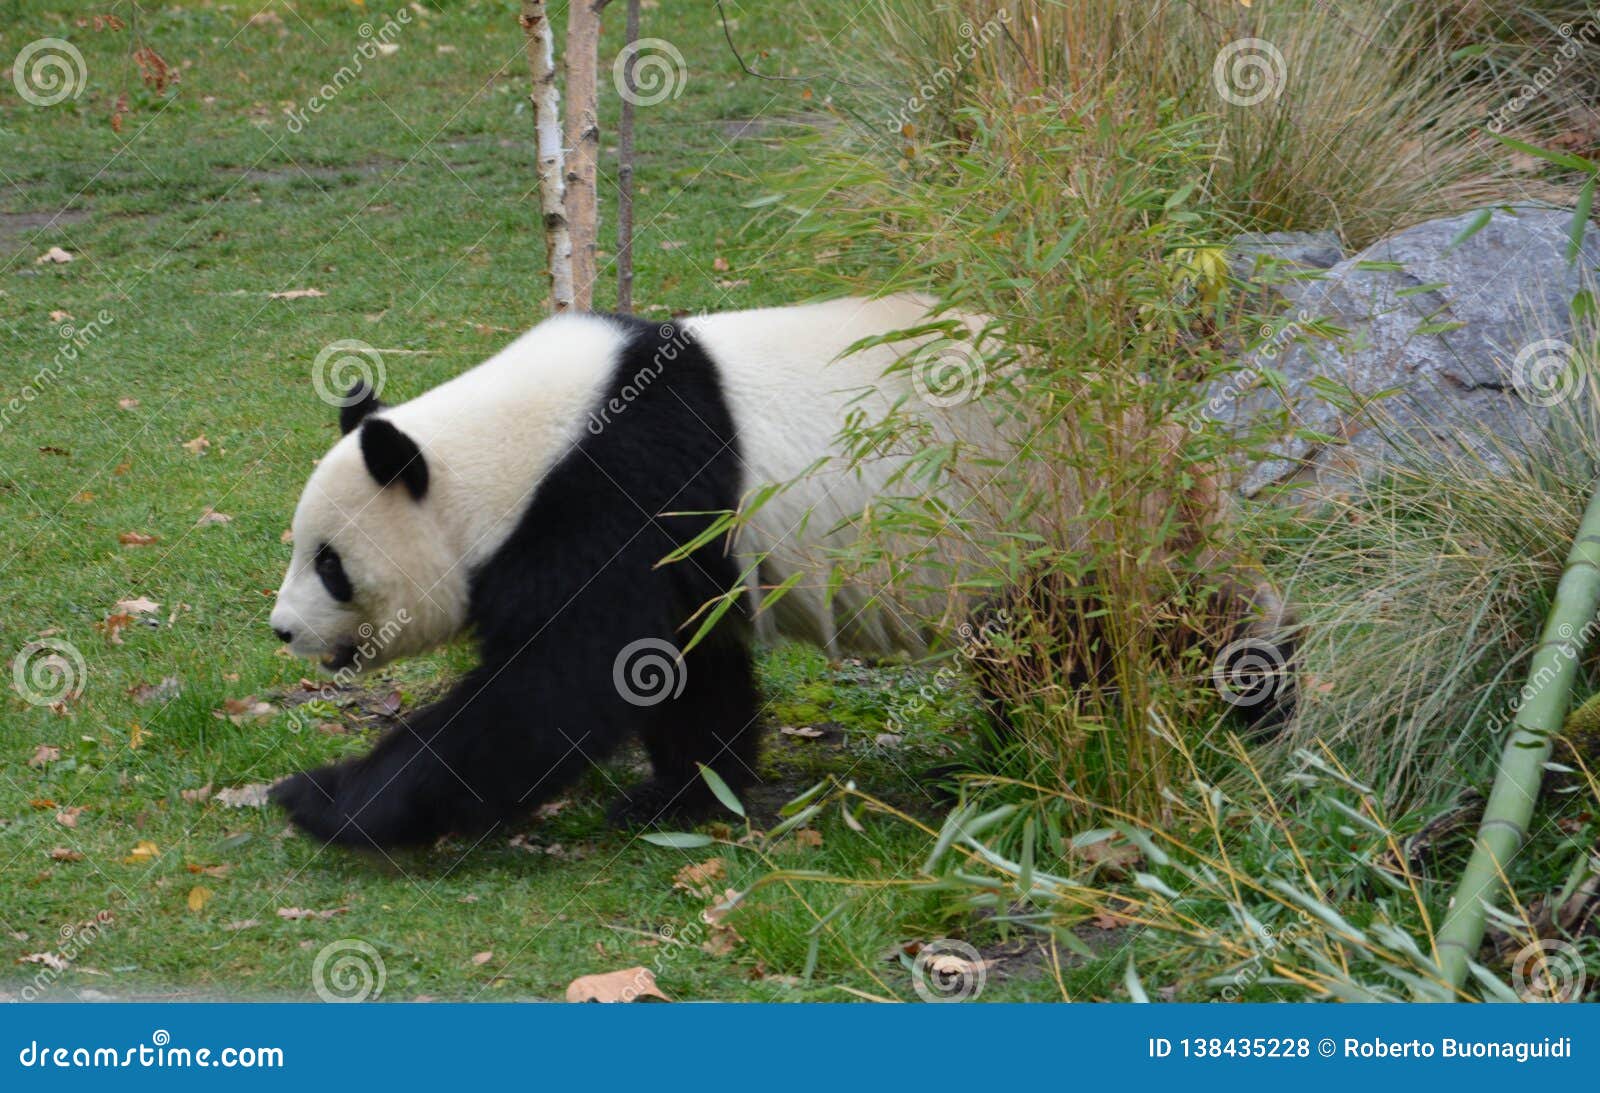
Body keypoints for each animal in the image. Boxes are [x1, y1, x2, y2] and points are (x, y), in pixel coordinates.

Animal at [268, 295, 1293, 849]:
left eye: (331, 565)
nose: (283, 629)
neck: (515, 447)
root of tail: (1174, 454)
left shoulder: (618, 489)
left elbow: (556, 686)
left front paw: (325, 798)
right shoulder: (682, 541)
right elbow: (684, 667)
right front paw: (689, 790)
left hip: (1059, 527)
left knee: (1119, 641)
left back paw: (1236, 709)